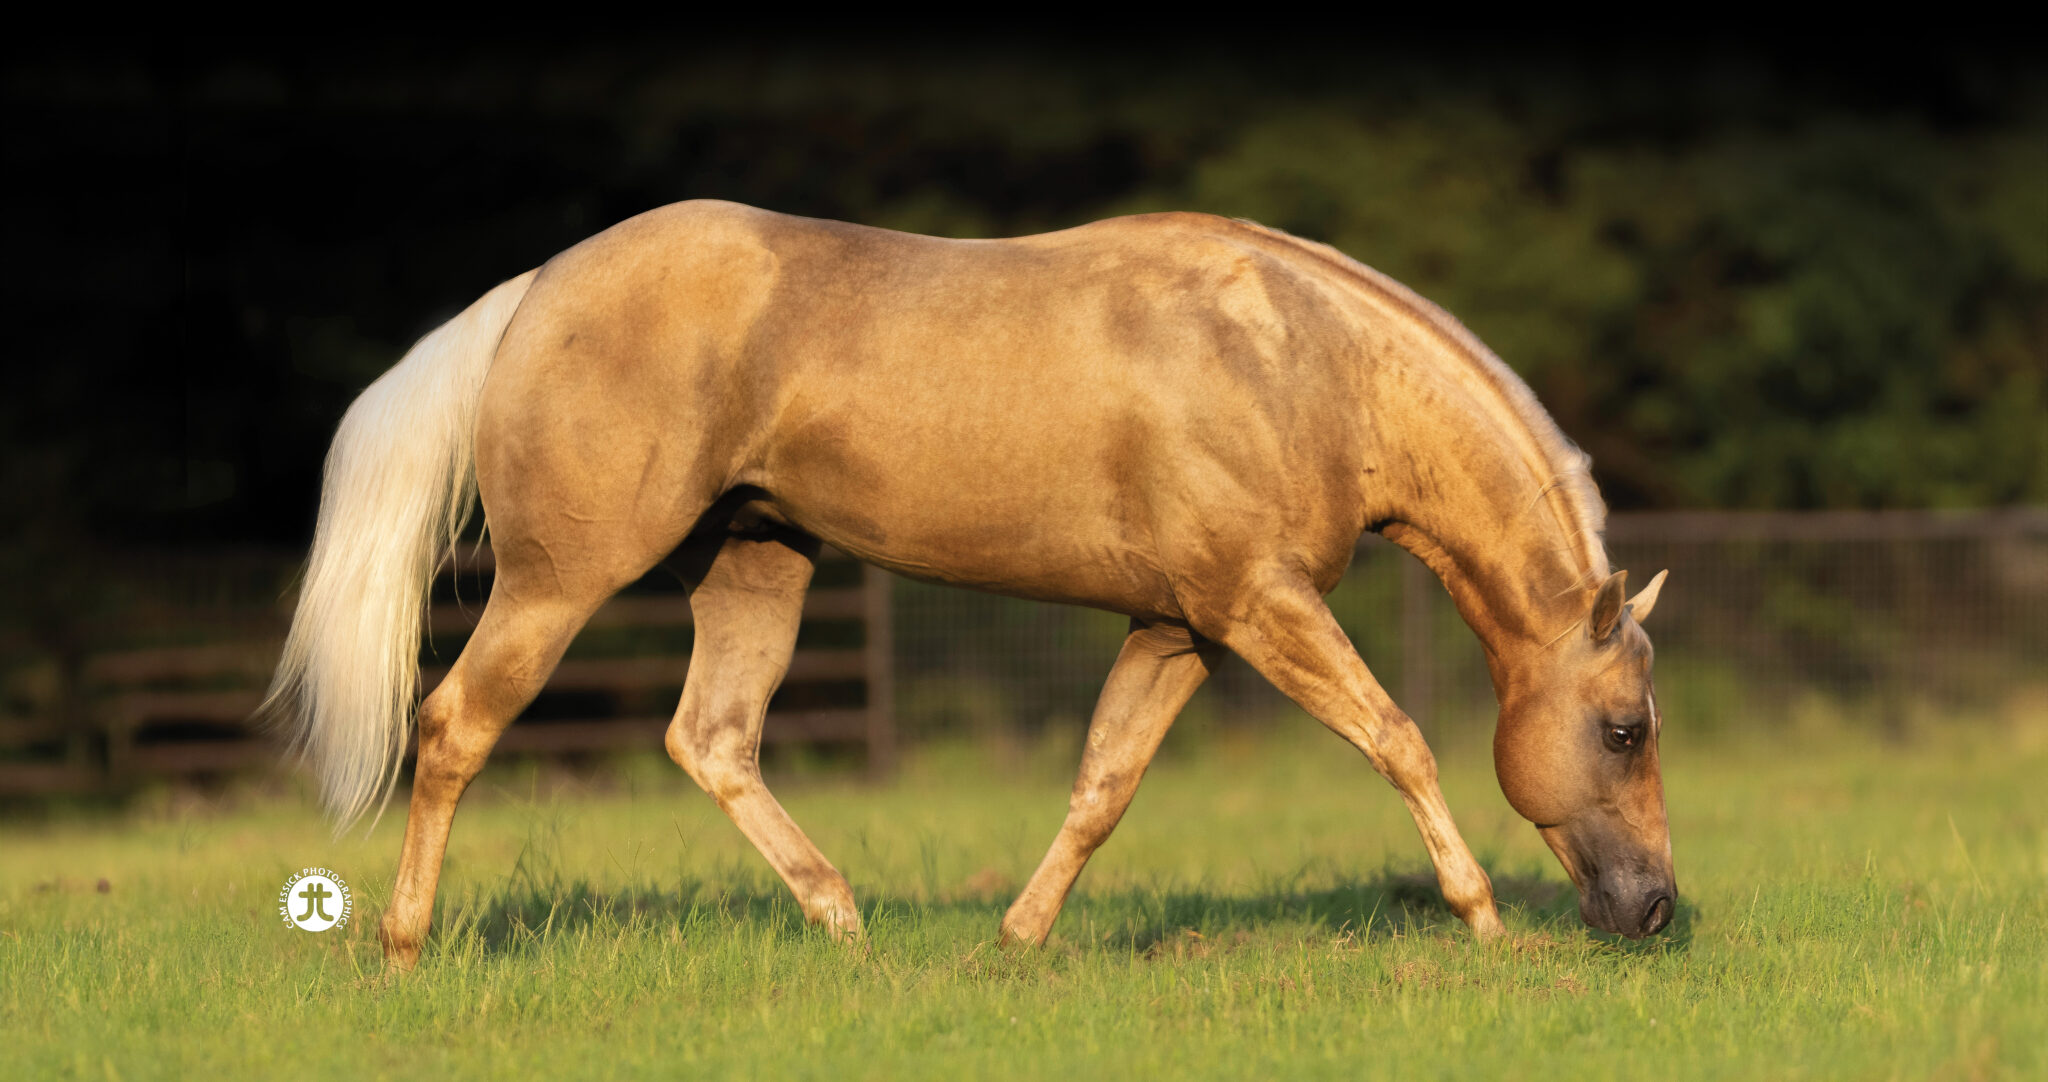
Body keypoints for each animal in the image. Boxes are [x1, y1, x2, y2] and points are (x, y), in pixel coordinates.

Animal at [262, 200, 1676, 969]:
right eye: (1622, 728)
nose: (1658, 909)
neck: (1294, 356)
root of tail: (532, 290)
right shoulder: (1259, 607)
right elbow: (1396, 739)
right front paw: (1482, 922)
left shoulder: (1177, 628)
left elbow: (1103, 783)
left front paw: (1015, 938)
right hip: (559, 583)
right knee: (453, 726)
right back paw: (401, 946)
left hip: (757, 564)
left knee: (711, 738)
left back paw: (844, 927)